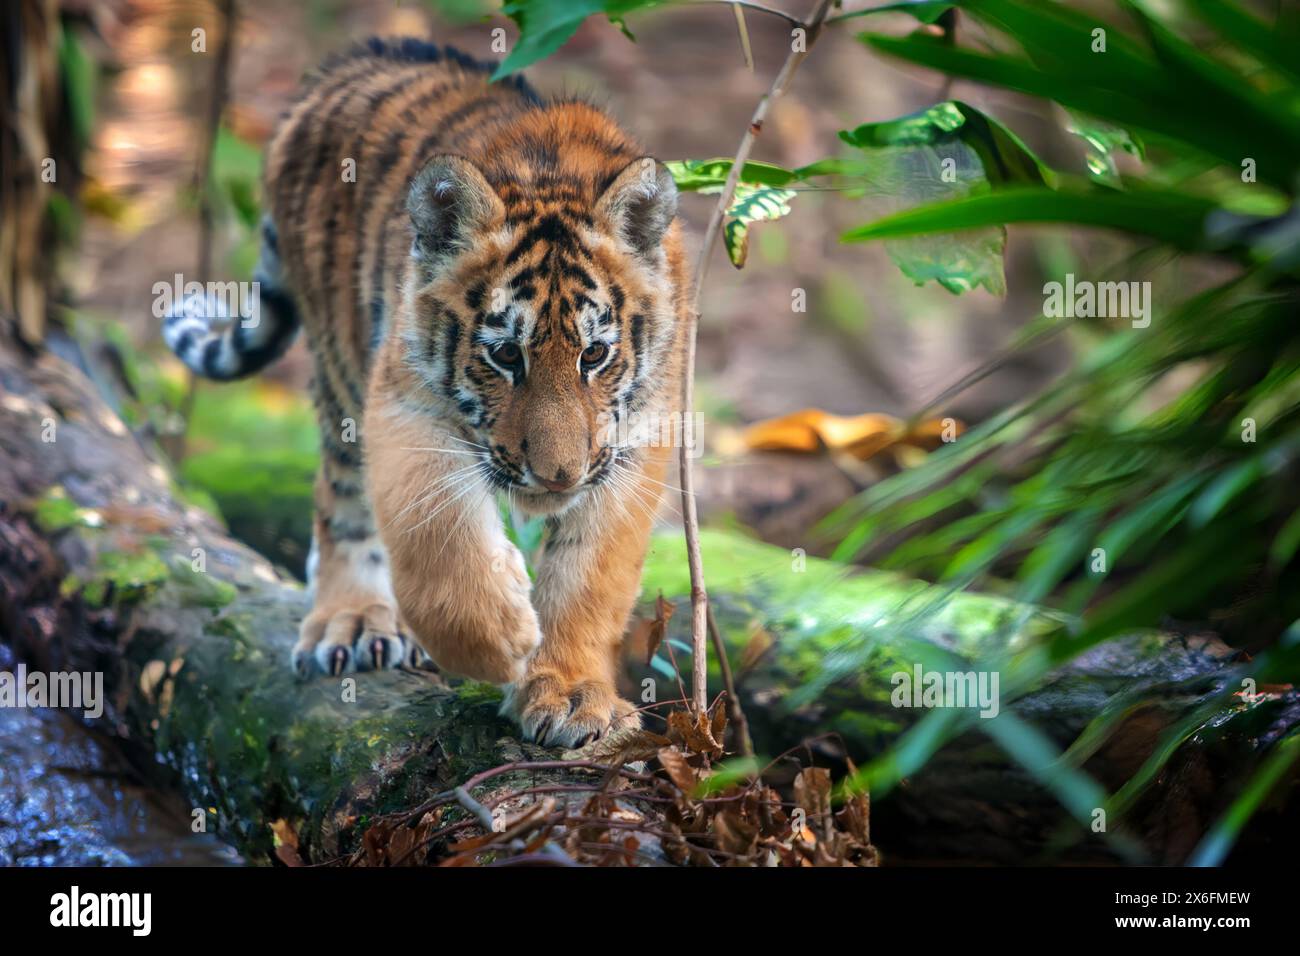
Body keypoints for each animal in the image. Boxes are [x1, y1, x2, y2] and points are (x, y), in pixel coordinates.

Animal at [163, 37, 689, 747]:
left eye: (595, 355)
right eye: (505, 356)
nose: (557, 476)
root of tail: (350, 63)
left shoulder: (634, 443)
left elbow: (589, 575)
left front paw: (573, 695)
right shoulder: (403, 405)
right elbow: (438, 538)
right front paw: (500, 642)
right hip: (341, 370)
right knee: (339, 502)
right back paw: (352, 618)